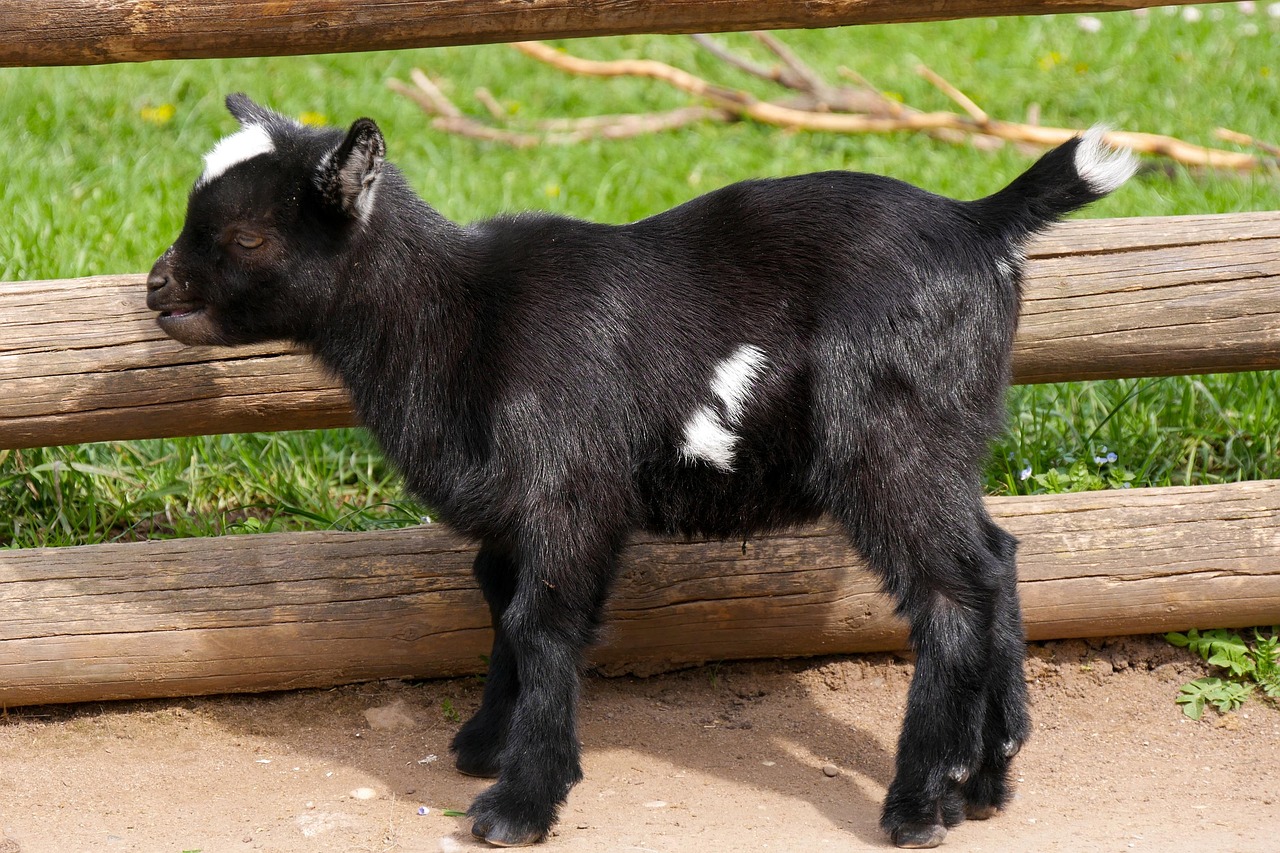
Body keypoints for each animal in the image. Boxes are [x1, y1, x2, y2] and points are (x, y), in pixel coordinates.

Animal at [146, 94, 1135, 848]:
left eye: (245, 235)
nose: (157, 286)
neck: (461, 315)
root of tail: (980, 221)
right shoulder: (516, 510)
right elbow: (499, 606)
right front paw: (485, 743)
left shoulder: (569, 490)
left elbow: (543, 623)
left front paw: (517, 804)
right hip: (950, 436)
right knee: (996, 558)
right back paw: (989, 779)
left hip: (888, 437)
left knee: (950, 592)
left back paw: (918, 803)